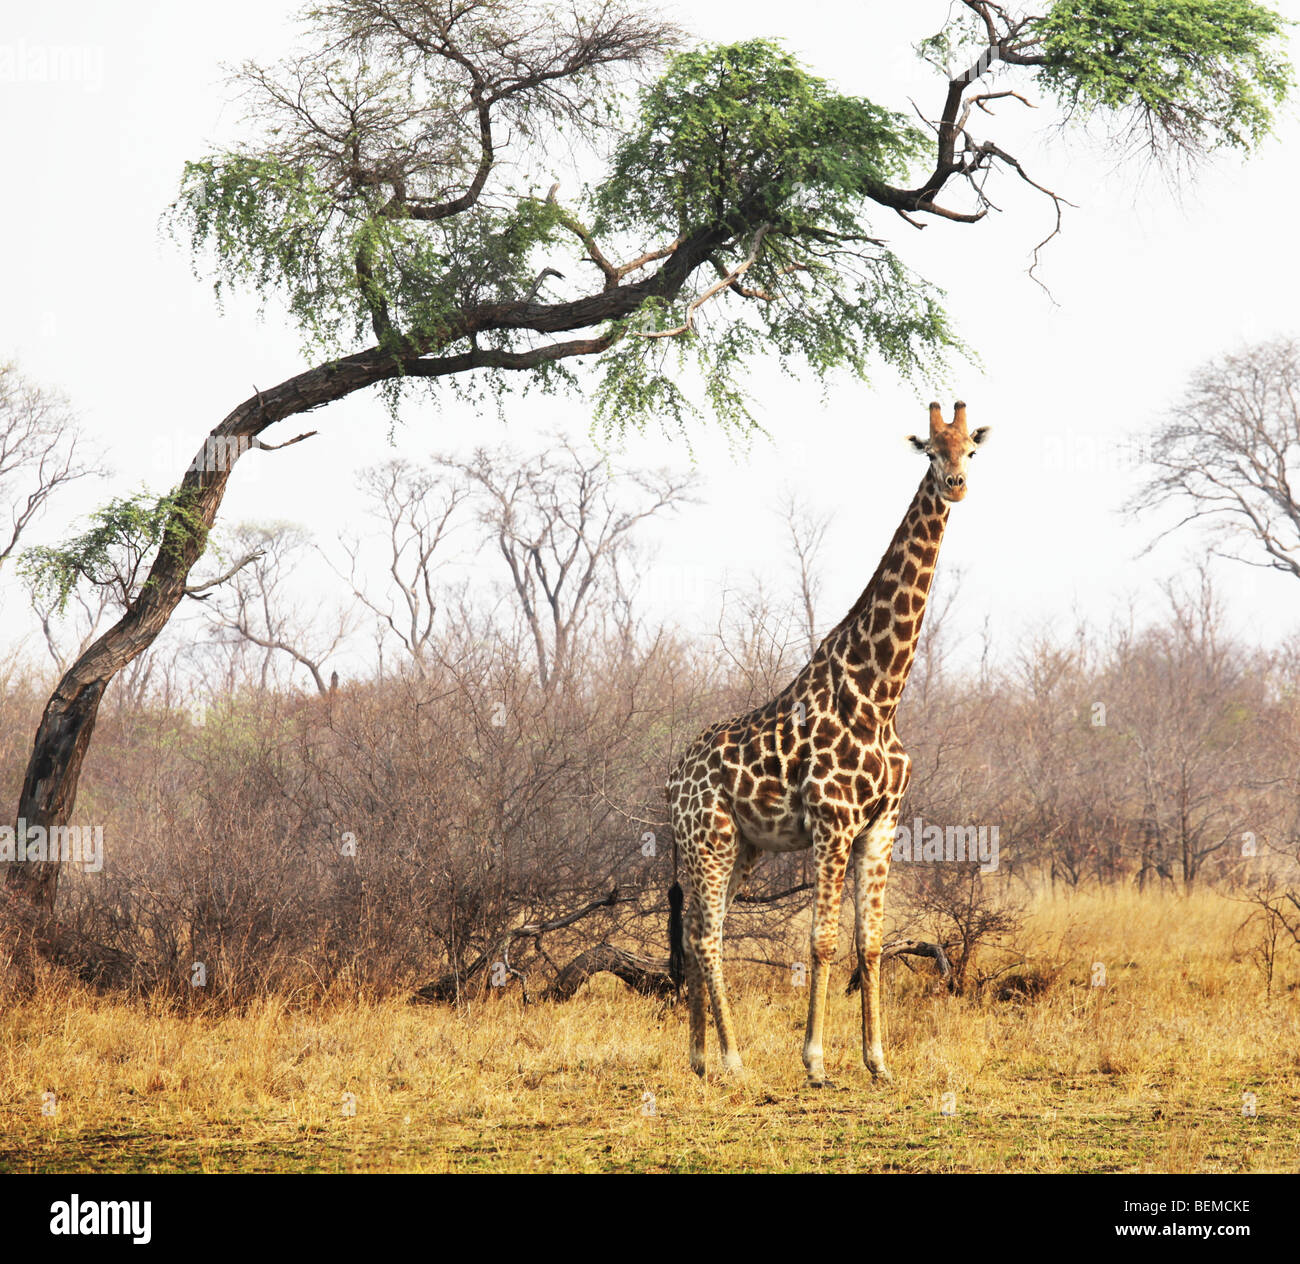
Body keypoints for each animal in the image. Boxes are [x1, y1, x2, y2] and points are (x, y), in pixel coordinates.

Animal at [666, 400, 990, 1086]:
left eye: (971, 451)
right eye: (930, 451)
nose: (956, 485)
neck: (881, 693)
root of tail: (670, 781)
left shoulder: (881, 825)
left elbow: (871, 942)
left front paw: (878, 1061)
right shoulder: (832, 823)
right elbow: (821, 941)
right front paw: (814, 1061)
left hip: (742, 847)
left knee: (702, 931)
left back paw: (700, 1058)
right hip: (709, 838)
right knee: (704, 936)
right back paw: (733, 1059)